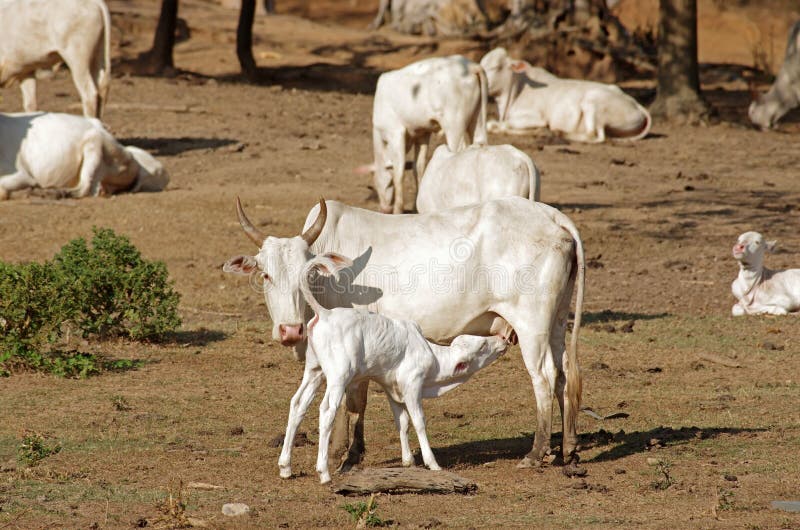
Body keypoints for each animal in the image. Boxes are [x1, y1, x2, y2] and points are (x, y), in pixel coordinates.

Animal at [278, 252, 511, 483]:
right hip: (339, 376)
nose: (503, 339)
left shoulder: (392, 389)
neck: (432, 358)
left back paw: (285, 467)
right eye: (482, 345)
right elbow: (418, 421)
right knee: (326, 410)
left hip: (314, 371)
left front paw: (408, 461)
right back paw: (324, 472)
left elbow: (402, 421)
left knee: (297, 404)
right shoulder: (412, 386)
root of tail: (325, 314)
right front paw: (432, 463)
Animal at [371, 55, 488, 214]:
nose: (384, 209)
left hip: (454, 125)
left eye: (377, 183)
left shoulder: (395, 133)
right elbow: (418, 167)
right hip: (478, 120)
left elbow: (399, 172)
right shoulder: (422, 134)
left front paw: (398, 210)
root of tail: (472, 66)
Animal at [479, 47, 651, 143]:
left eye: (496, 67)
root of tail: (636, 104)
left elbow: (499, 125)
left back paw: (560, 133)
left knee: (594, 136)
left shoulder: (536, 117)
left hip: (592, 102)